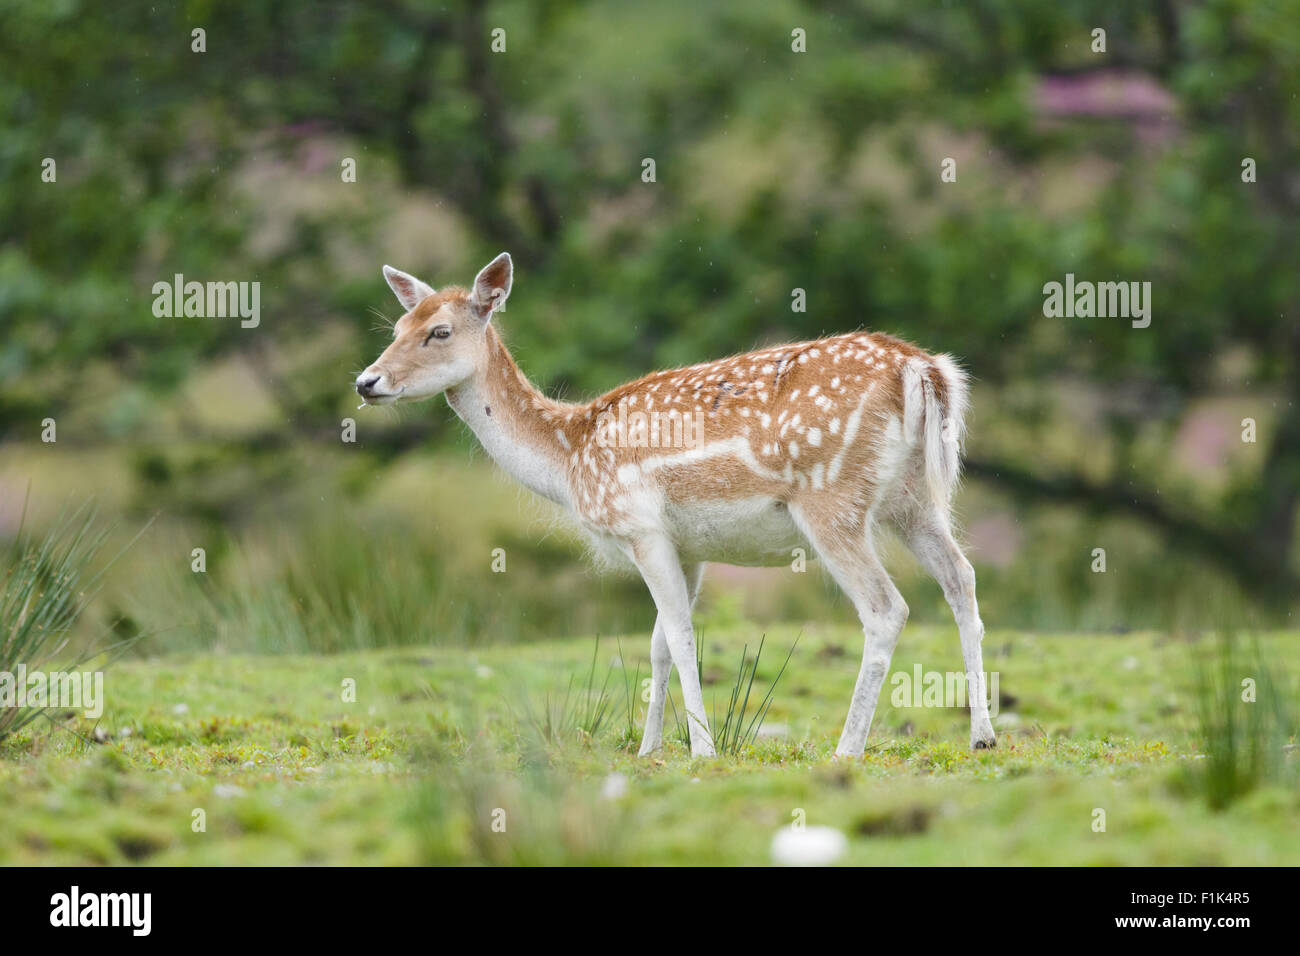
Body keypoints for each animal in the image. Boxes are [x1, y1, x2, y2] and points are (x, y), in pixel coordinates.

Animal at [356, 253, 995, 759]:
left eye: (438, 332)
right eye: (398, 324)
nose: (367, 381)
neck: (569, 457)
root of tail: (922, 368)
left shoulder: (641, 527)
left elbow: (684, 636)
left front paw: (703, 749)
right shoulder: (690, 547)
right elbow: (659, 642)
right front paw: (648, 748)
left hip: (831, 498)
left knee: (887, 607)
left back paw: (847, 748)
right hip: (913, 500)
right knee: (962, 578)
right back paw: (982, 735)